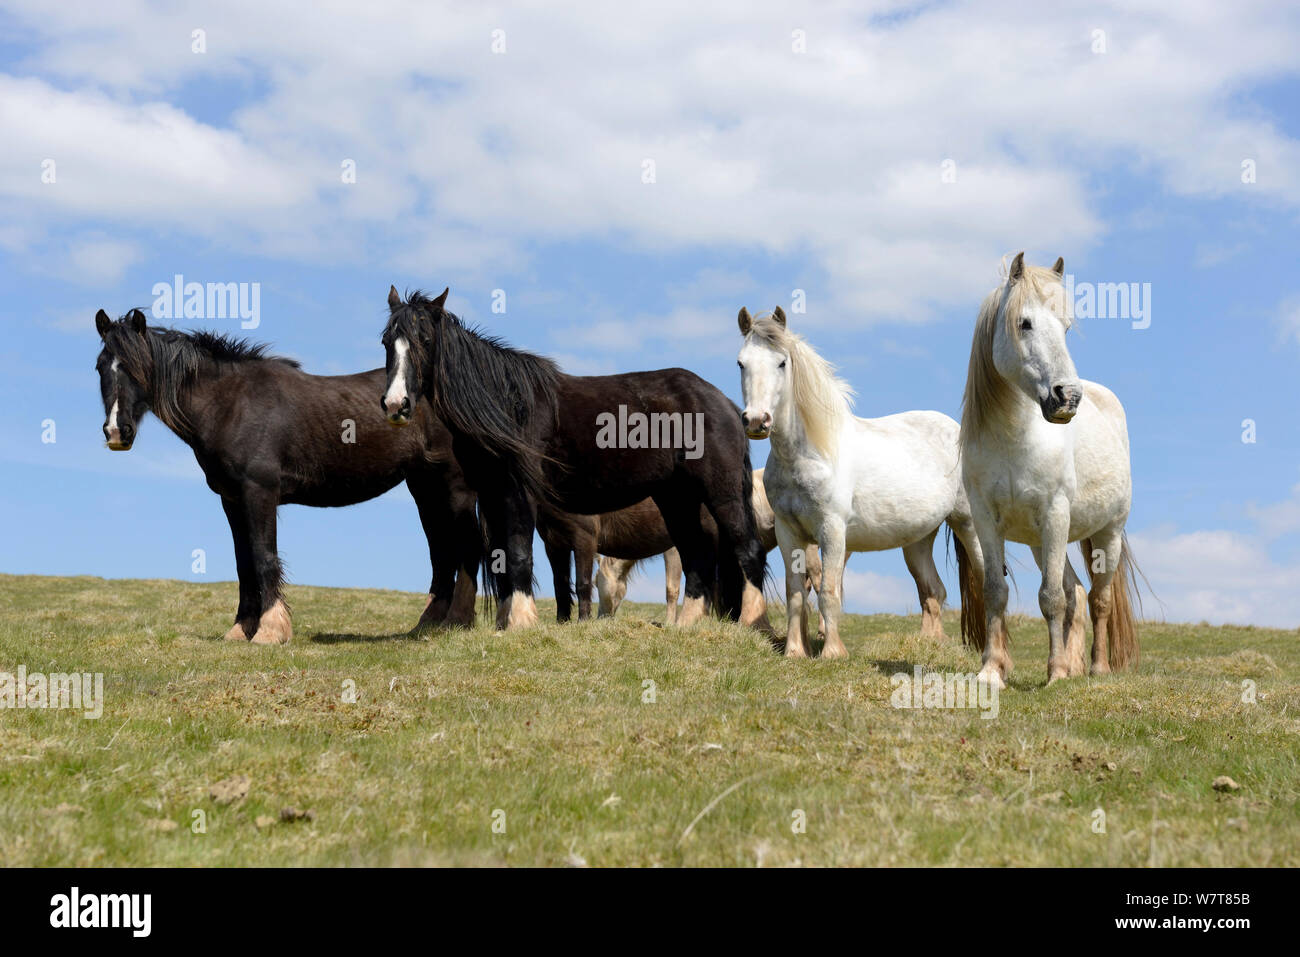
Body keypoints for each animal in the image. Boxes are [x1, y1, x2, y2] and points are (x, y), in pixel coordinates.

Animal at [94, 308, 481, 644]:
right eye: (100, 366)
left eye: (137, 367)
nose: (116, 432)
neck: (231, 404)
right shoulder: (232, 499)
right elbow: (244, 564)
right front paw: (240, 629)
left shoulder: (260, 491)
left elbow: (264, 557)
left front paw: (269, 631)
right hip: (425, 486)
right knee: (442, 551)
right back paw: (428, 625)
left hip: (455, 484)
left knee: (467, 546)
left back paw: (458, 622)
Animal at [380, 286, 771, 632]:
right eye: (386, 342)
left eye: (424, 340)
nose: (395, 404)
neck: (507, 405)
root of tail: (723, 402)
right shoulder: (492, 495)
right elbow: (503, 558)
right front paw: (506, 622)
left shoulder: (519, 493)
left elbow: (519, 553)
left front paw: (522, 620)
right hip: (677, 499)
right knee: (697, 559)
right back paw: (687, 626)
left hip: (721, 494)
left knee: (747, 549)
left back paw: (755, 623)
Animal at [736, 306, 985, 659]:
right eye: (741, 363)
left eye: (782, 362)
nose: (757, 421)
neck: (809, 455)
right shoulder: (788, 532)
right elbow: (795, 593)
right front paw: (795, 652)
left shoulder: (832, 531)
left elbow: (828, 591)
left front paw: (832, 653)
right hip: (918, 540)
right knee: (933, 590)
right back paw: (929, 648)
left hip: (968, 524)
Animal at [959, 253, 1140, 687]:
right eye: (1024, 323)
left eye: (1067, 326)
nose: (1067, 397)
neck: (1015, 439)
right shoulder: (985, 520)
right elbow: (996, 592)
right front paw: (991, 670)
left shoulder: (1055, 515)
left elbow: (1051, 598)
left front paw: (1056, 673)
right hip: (1040, 542)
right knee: (1076, 592)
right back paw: (1074, 666)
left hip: (1106, 534)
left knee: (1098, 599)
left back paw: (1095, 667)